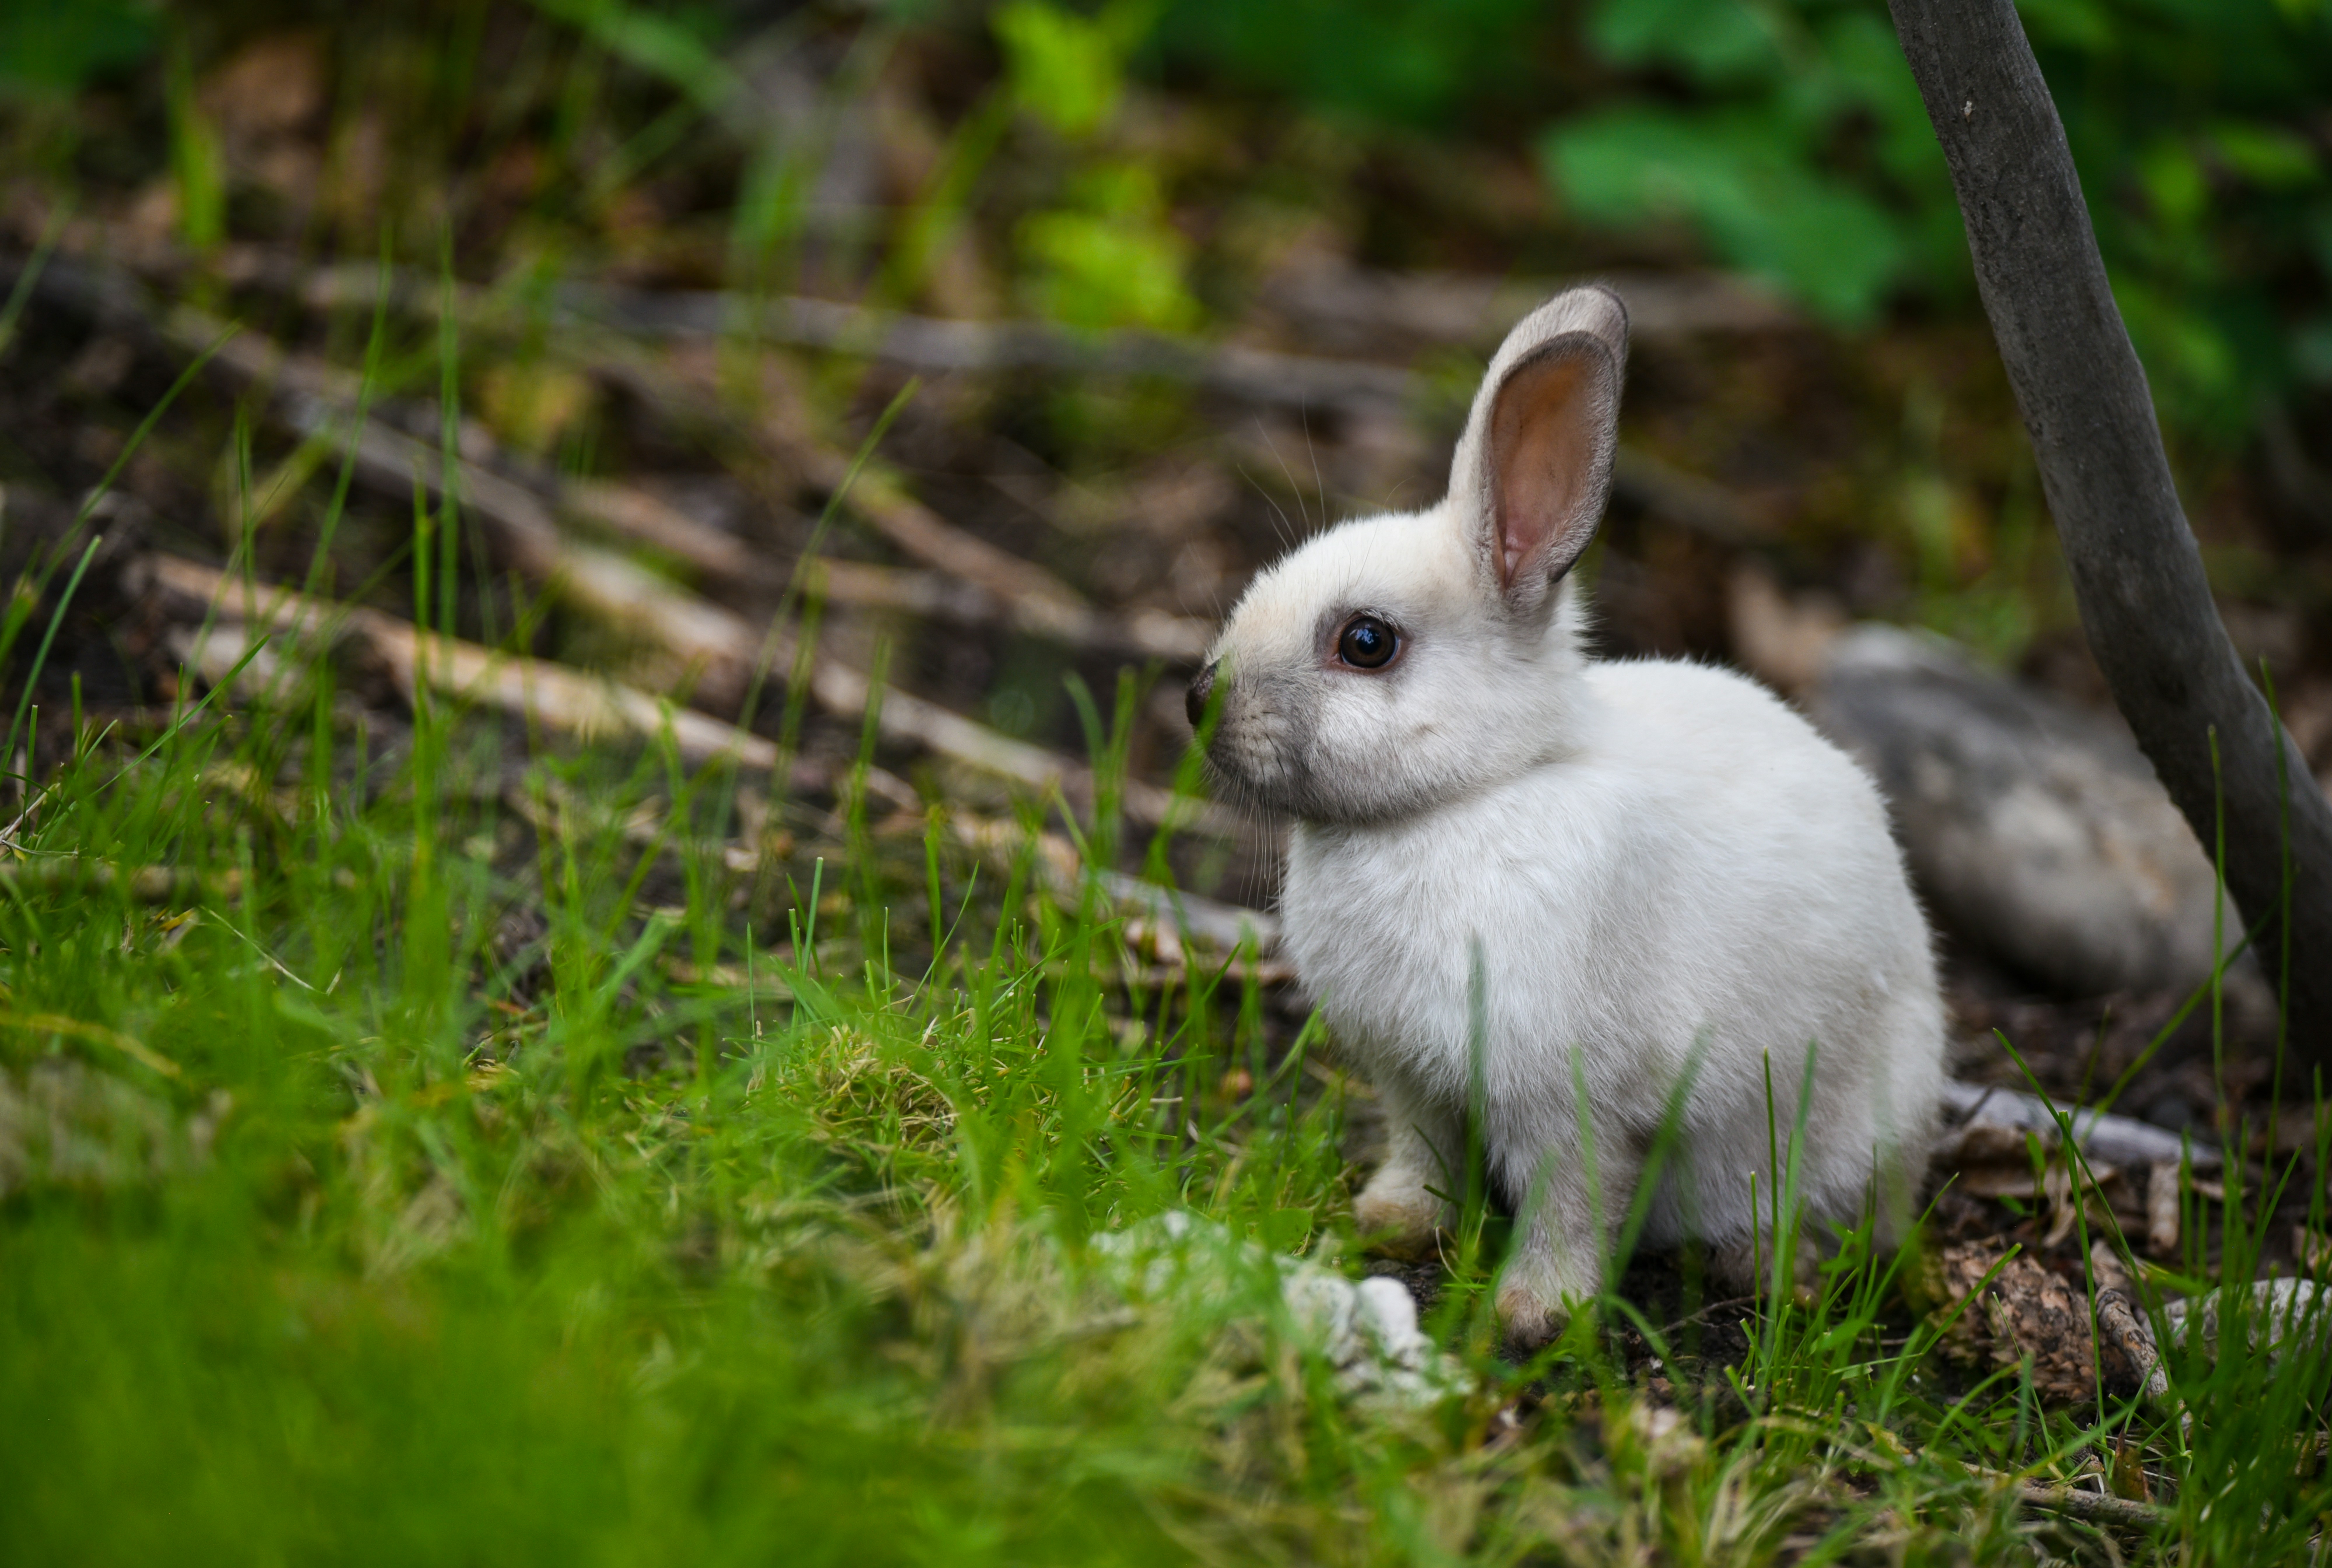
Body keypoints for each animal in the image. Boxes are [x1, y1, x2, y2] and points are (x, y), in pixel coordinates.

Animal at [1187, 286, 1944, 1348]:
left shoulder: (1569, 1098)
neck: (1475, 792)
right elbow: (1424, 1156)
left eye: (1367, 642)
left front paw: (1535, 1314)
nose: (1196, 699)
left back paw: (1761, 1267)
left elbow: (1571, 1203)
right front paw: (1391, 1222)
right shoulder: (1414, 1081)